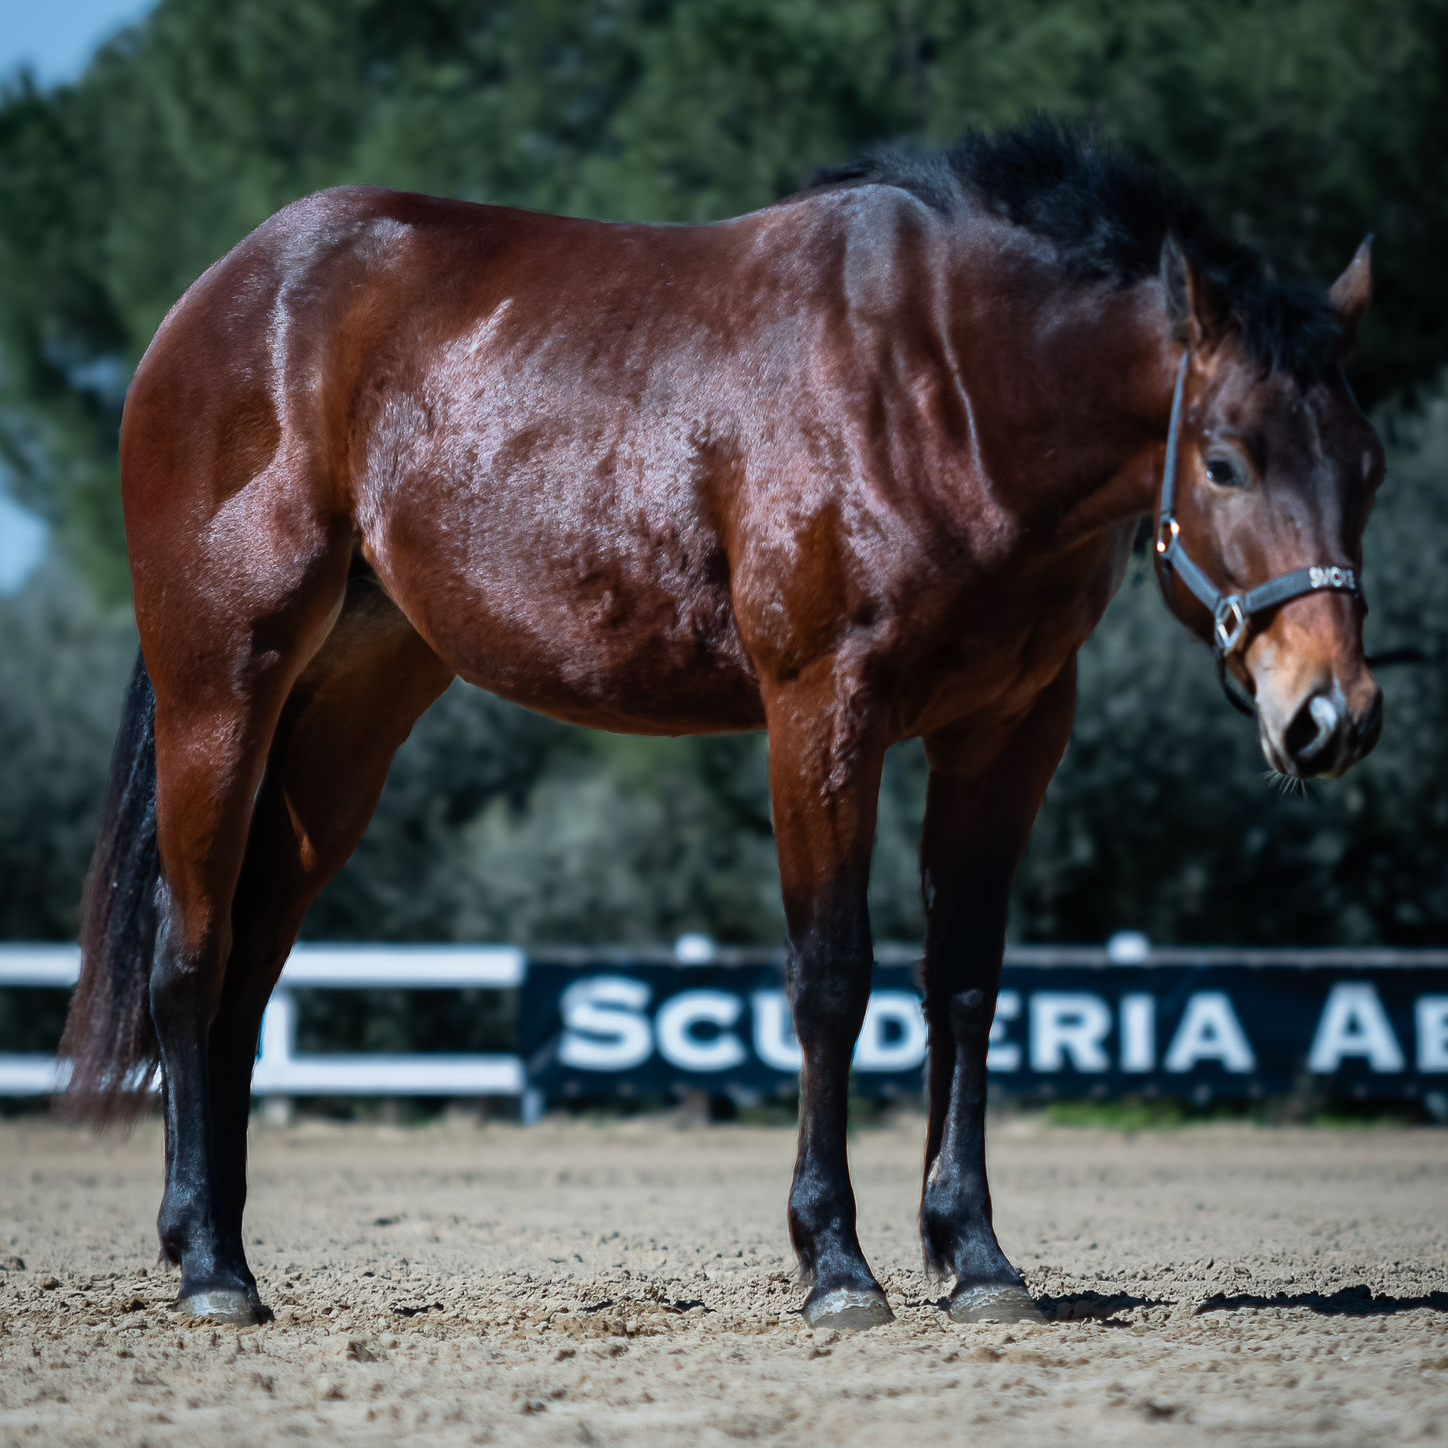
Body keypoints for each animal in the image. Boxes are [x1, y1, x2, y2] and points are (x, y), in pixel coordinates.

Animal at [59, 120, 1384, 1330]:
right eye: (1222, 460)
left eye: (1366, 464)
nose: (1329, 712)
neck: (948, 379)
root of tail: (225, 294)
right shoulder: (821, 707)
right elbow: (831, 973)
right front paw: (836, 1263)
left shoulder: (1007, 730)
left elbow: (962, 978)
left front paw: (976, 1258)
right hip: (221, 690)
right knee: (191, 955)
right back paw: (210, 1268)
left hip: (344, 725)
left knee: (248, 971)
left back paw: (218, 1240)